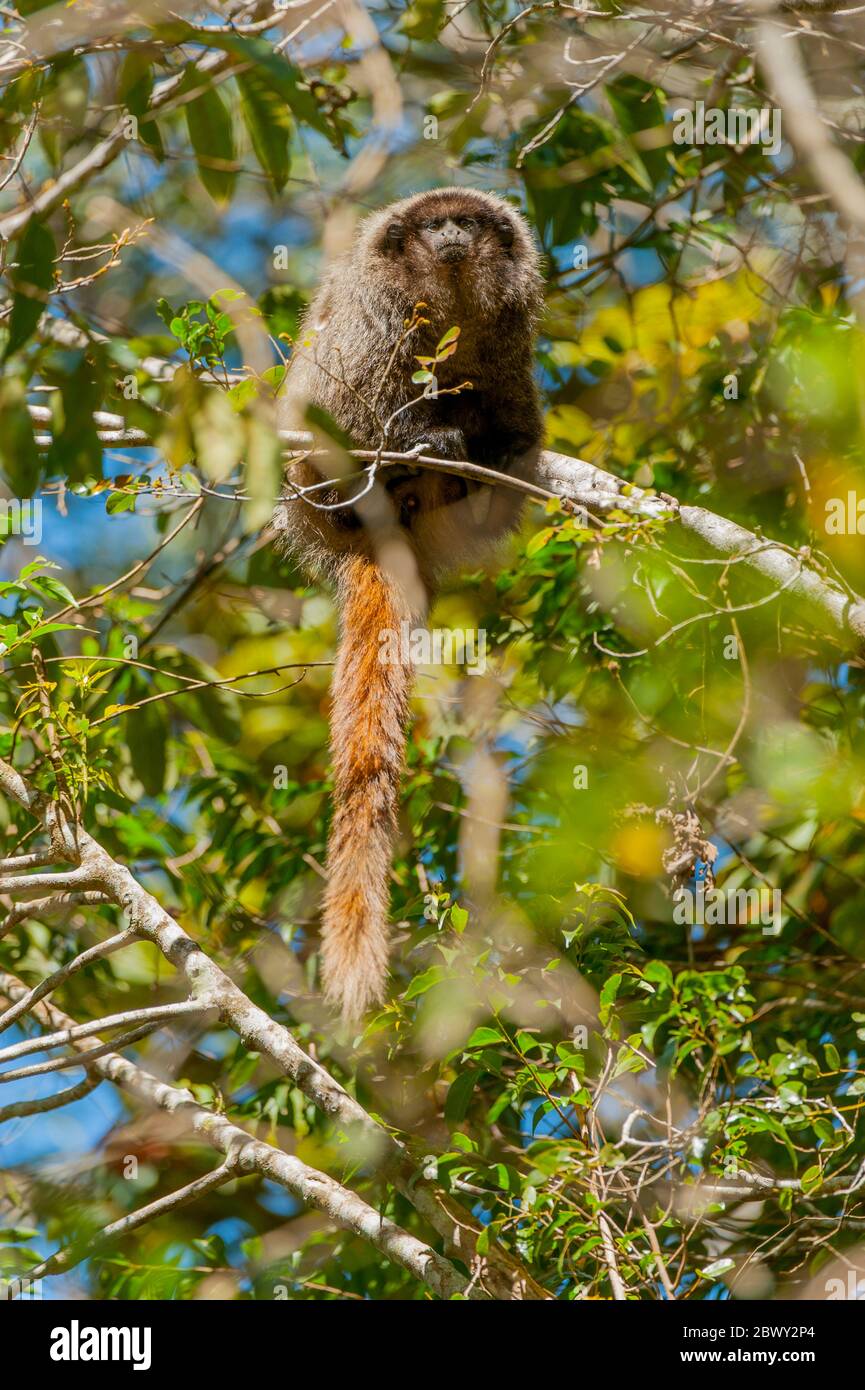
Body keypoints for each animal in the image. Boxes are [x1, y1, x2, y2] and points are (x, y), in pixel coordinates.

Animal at [274, 187, 544, 1020]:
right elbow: (339, 399)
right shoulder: (374, 313)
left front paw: (485, 448)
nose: (453, 232)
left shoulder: (512, 331)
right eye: (434, 225)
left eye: (470, 224)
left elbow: (520, 427)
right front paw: (422, 438)